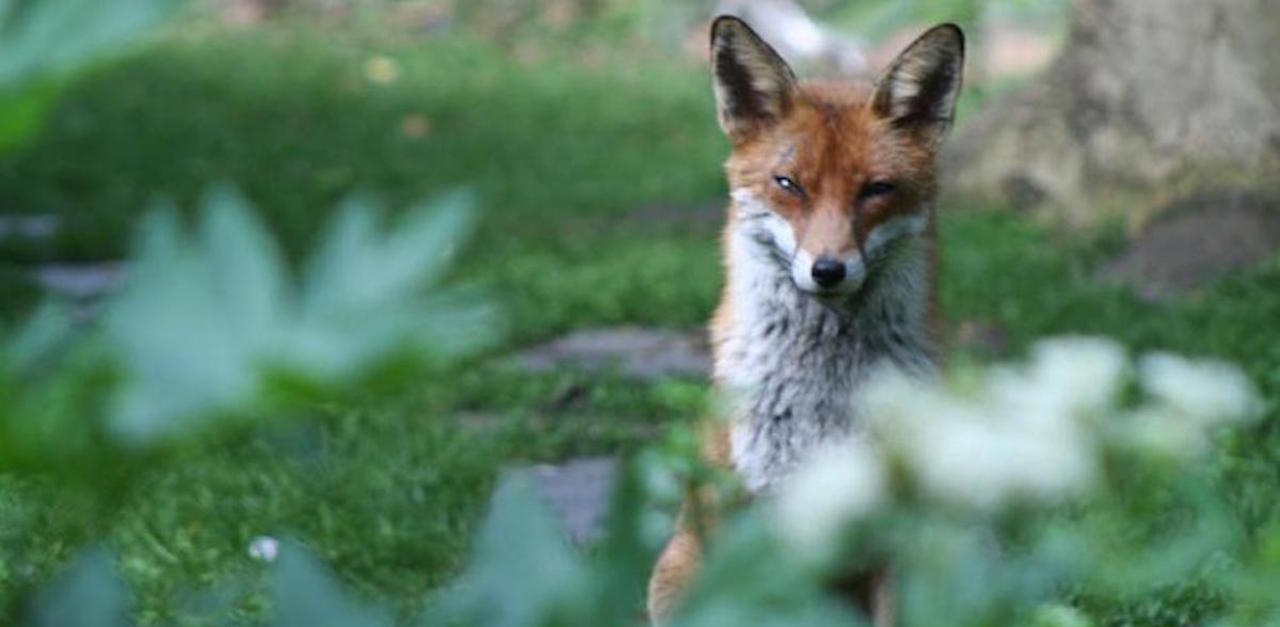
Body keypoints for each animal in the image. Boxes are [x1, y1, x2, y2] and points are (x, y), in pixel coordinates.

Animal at [646, 16, 965, 625]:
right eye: (788, 184)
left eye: (876, 190)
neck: (824, 398)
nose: (828, 270)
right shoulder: (747, 529)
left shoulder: (897, 530)